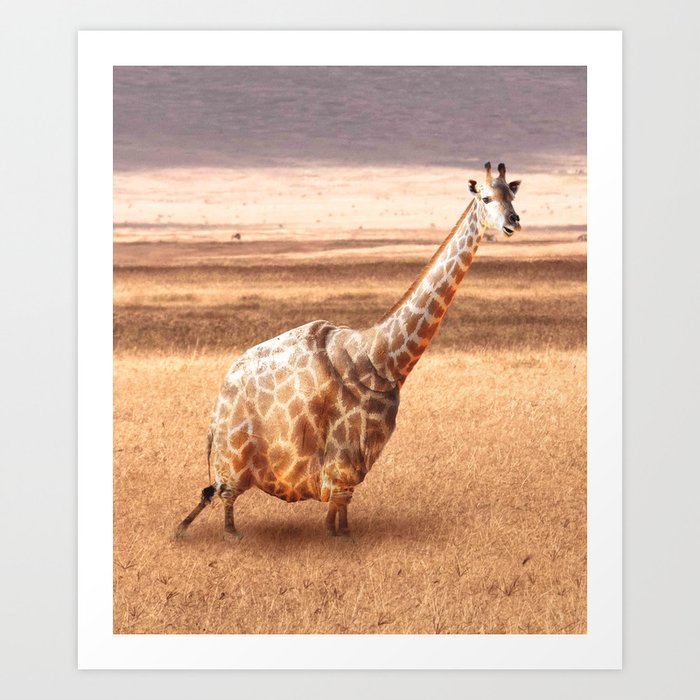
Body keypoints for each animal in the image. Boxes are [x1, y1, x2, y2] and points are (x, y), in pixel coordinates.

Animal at [175, 162, 522, 540]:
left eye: (512, 193)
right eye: (486, 198)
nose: (513, 222)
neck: (384, 360)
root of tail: (217, 407)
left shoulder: (353, 464)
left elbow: (340, 519)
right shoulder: (341, 458)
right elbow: (336, 522)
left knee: (211, 492)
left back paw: (183, 528)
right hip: (234, 454)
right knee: (223, 494)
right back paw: (228, 534)